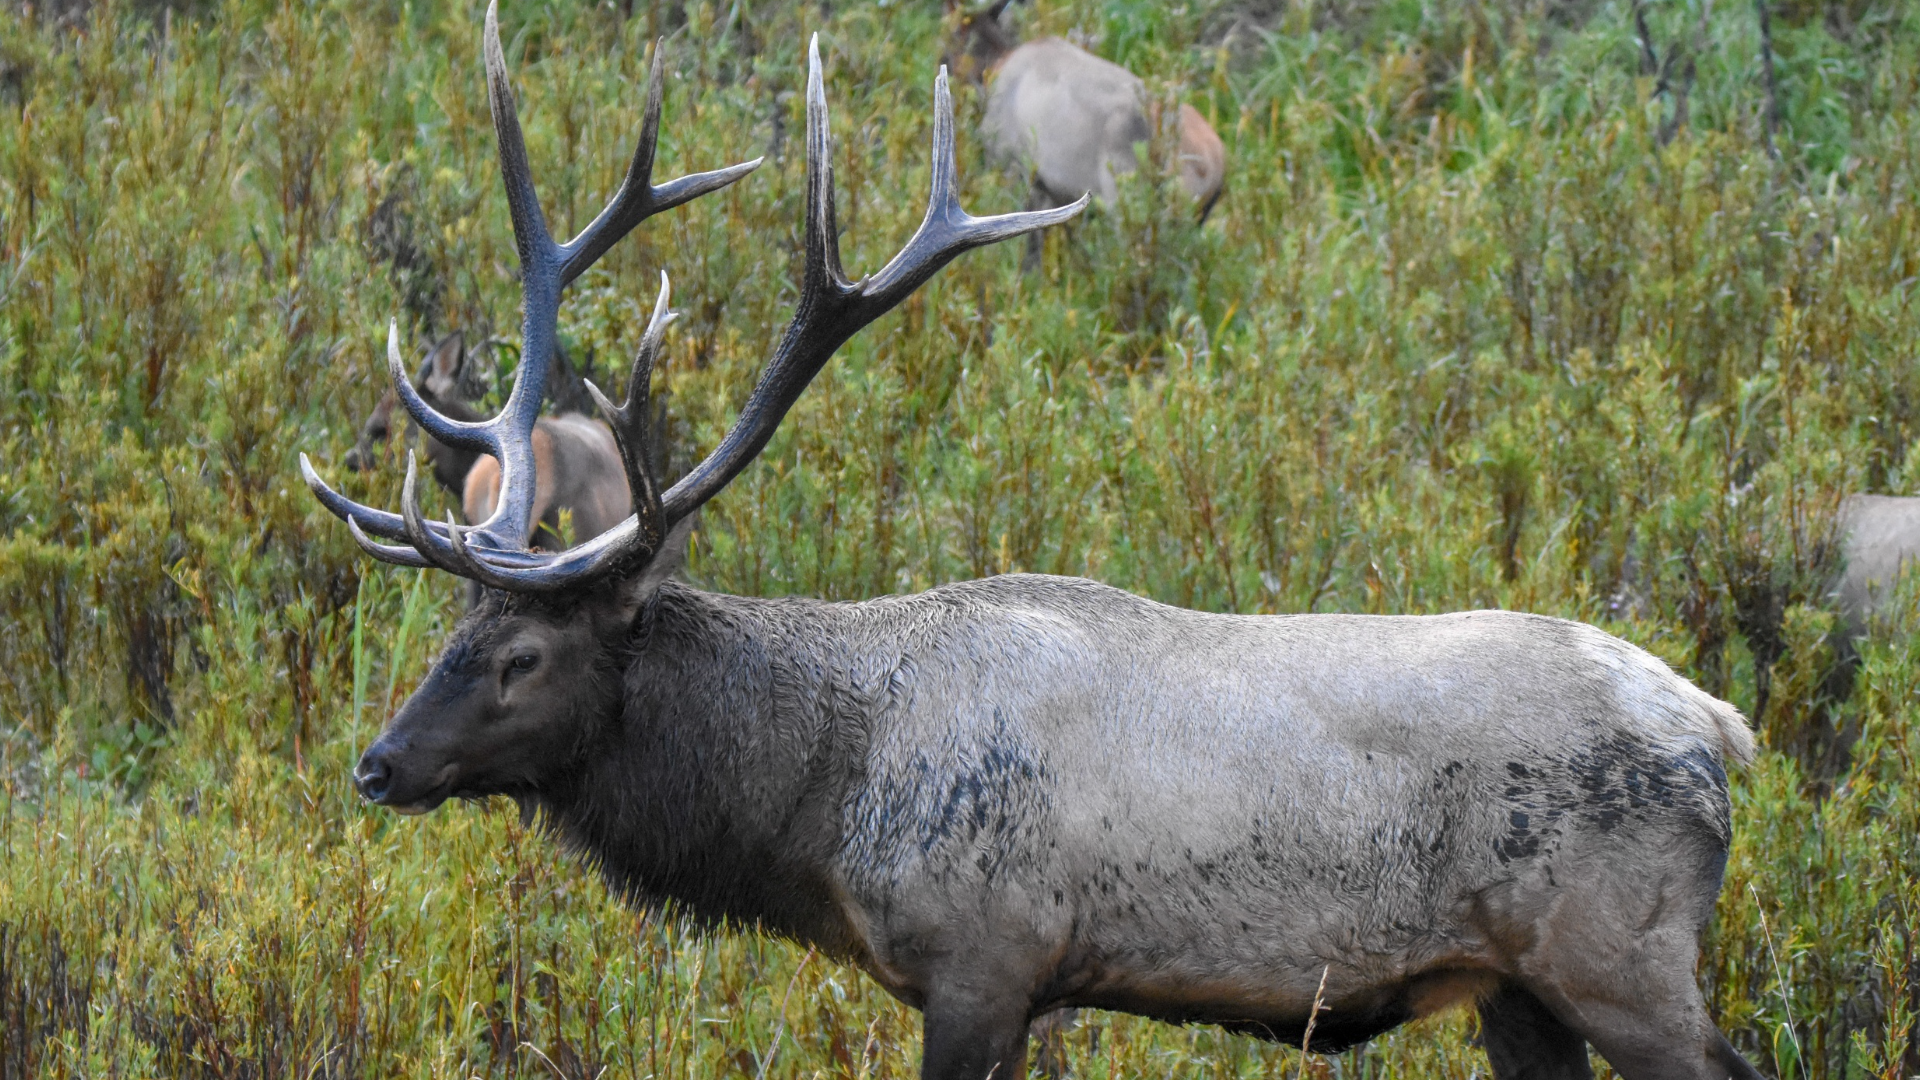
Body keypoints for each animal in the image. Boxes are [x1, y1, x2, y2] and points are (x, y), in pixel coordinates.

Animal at [946, 0, 1227, 230]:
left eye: (949, 37)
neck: (992, 67)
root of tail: (1216, 164)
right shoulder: (1056, 192)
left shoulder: (1010, 165)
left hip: (1128, 208)